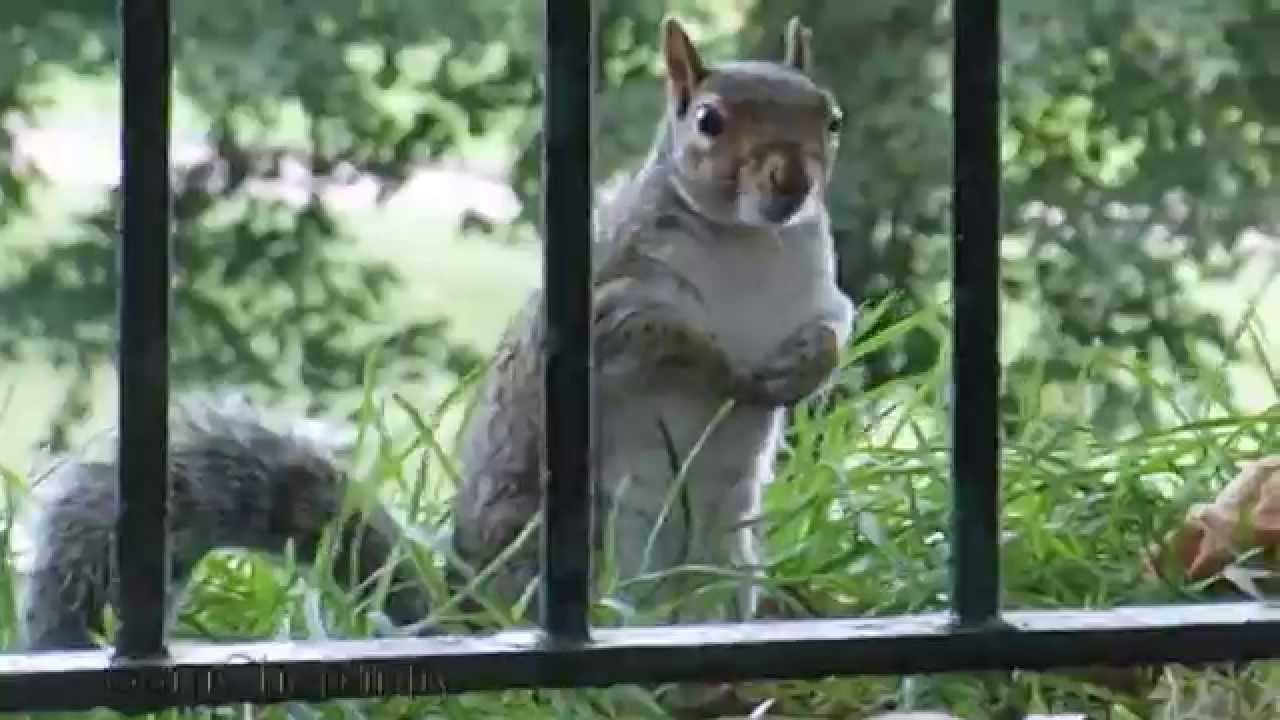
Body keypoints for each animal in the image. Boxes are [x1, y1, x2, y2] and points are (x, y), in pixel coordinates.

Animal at [16, 16, 854, 660]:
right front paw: (728, 370)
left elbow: (833, 334)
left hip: (727, 559)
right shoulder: (610, 298)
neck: (748, 247)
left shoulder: (821, 295)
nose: (791, 182)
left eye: (831, 119)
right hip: (571, 537)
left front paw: (800, 371)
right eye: (709, 120)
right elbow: (662, 339)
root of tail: (473, 610)